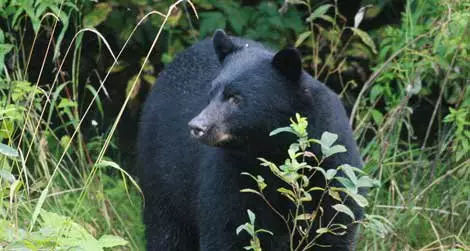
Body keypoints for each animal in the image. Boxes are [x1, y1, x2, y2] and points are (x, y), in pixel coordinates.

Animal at [137, 30, 364, 250]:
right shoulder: (231, 171)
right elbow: (228, 227)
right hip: (162, 173)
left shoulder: (330, 168)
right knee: (166, 230)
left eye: (235, 98)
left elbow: (333, 227)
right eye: (210, 94)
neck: (270, 148)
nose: (197, 127)